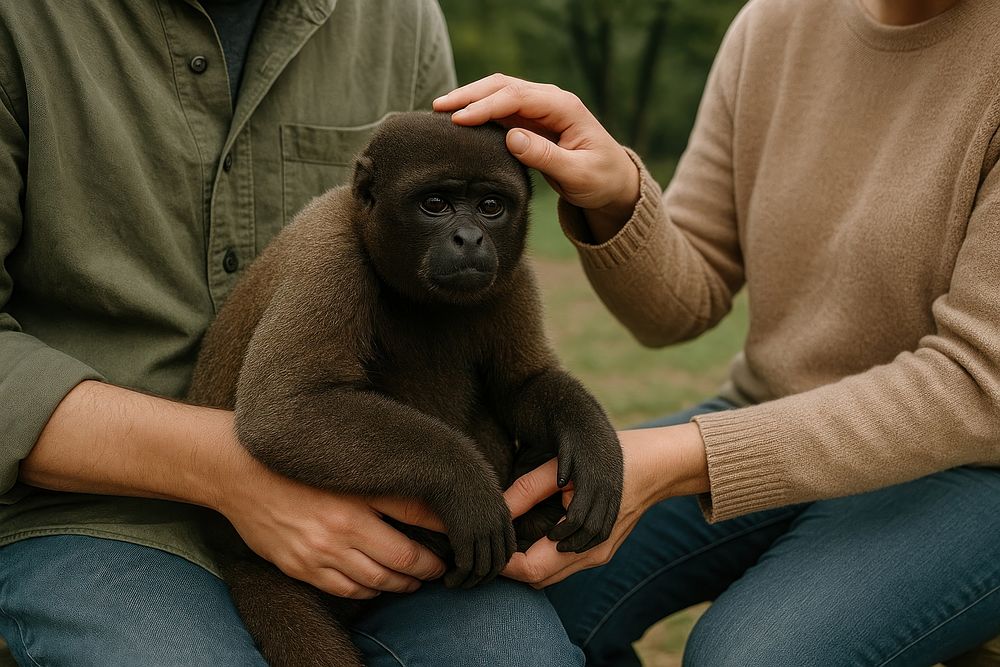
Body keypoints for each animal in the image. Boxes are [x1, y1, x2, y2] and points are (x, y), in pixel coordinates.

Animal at [187, 111, 624, 667]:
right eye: (434, 204)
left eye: (491, 207)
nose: (469, 238)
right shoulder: (331, 256)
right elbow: (282, 411)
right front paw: (467, 486)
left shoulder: (514, 272)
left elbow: (523, 384)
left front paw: (594, 446)